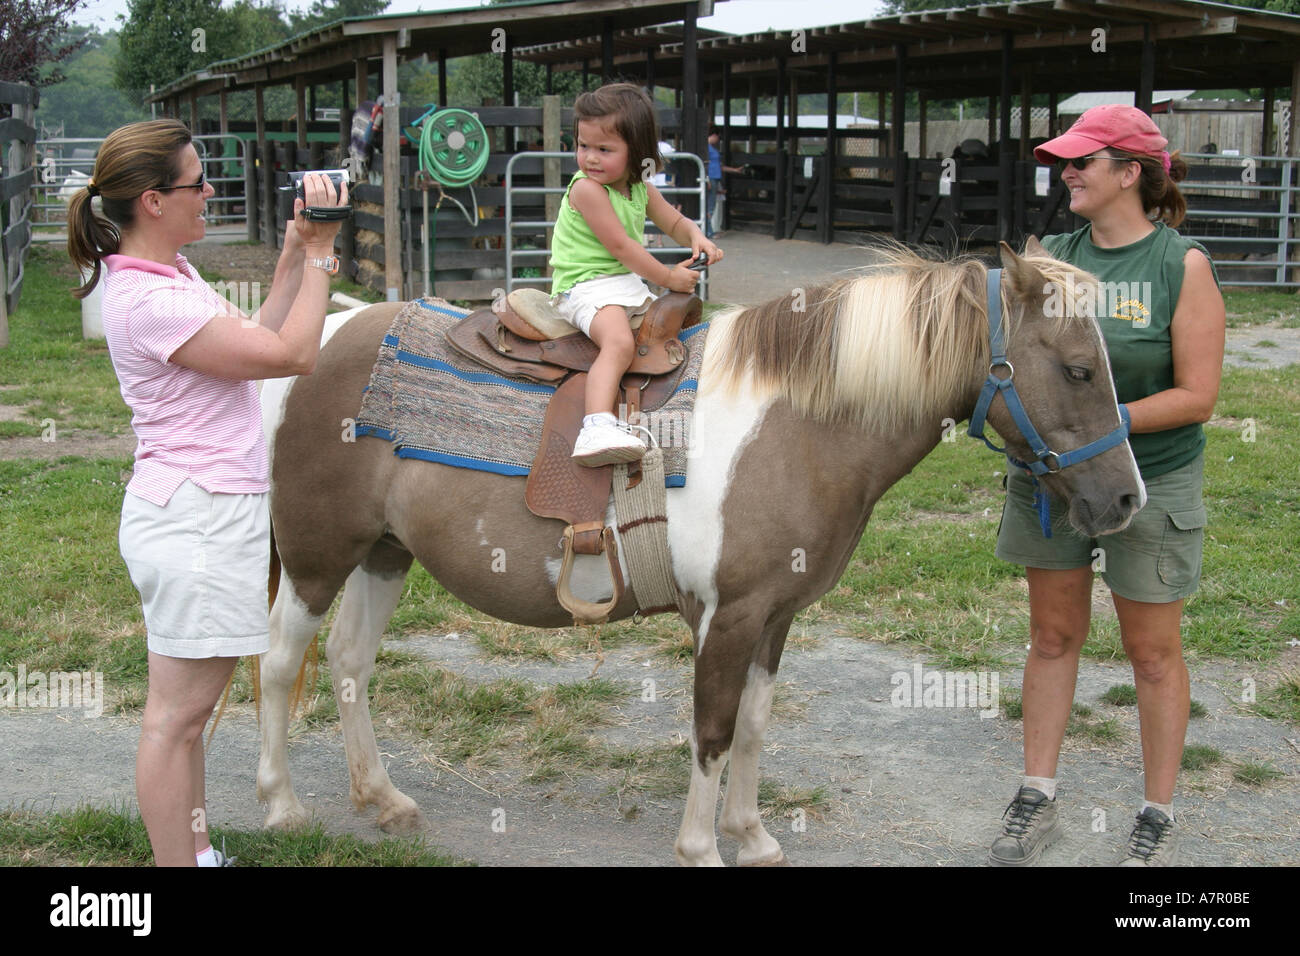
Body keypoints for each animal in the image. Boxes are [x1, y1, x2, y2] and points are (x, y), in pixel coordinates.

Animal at [255, 238, 1145, 866]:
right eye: (1077, 369)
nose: (1126, 500)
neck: (795, 424)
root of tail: (320, 335)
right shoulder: (728, 617)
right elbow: (712, 731)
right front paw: (701, 848)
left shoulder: (775, 618)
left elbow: (751, 726)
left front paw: (751, 836)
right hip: (315, 558)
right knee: (278, 663)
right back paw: (282, 807)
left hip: (382, 551)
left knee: (349, 661)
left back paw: (382, 799)